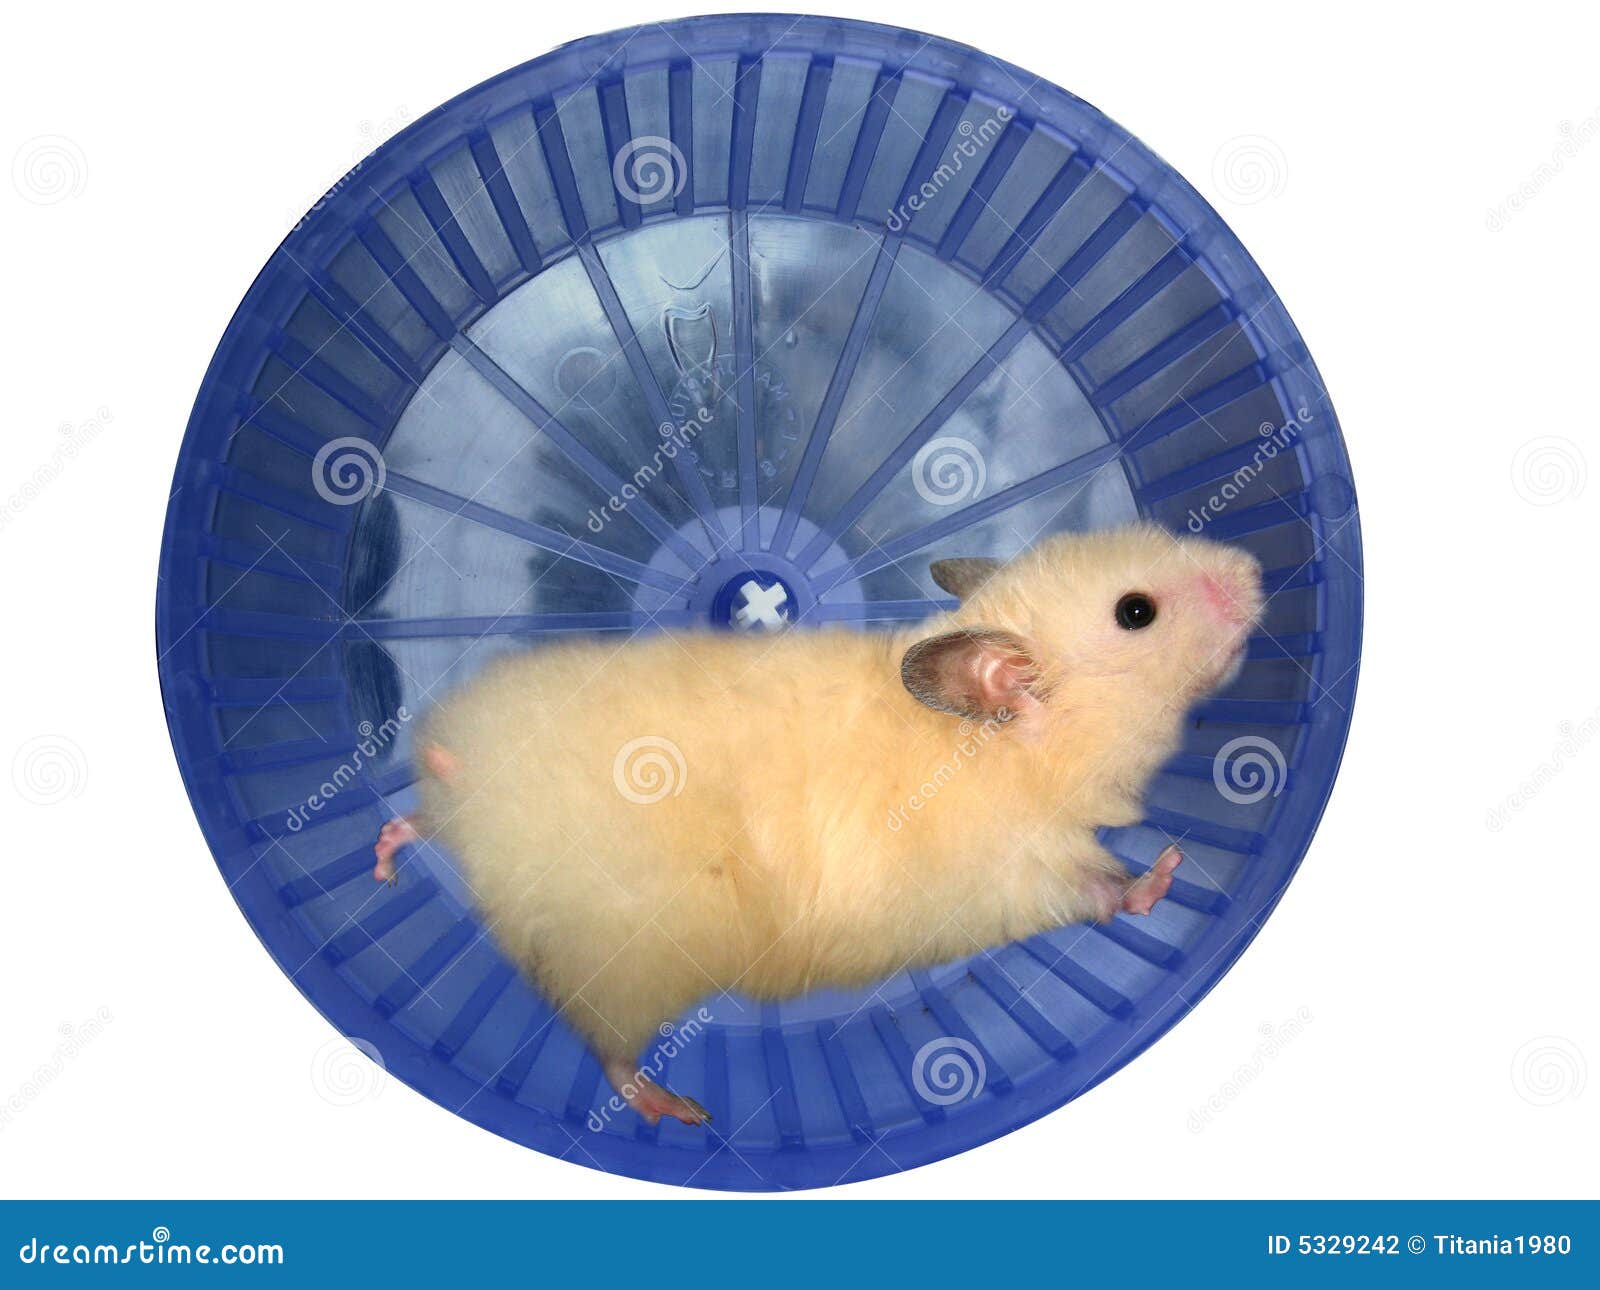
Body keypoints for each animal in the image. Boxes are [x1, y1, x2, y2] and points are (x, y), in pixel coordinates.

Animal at [373, 522, 1264, 1126]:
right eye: (1136, 612)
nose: (1256, 567)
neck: (1004, 753)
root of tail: (488, 802)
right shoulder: (1033, 871)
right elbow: (1110, 892)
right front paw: (1169, 868)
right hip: (626, 968)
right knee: (609, 1052)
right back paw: (678, 1108)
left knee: (420, 820)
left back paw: (385, 855)